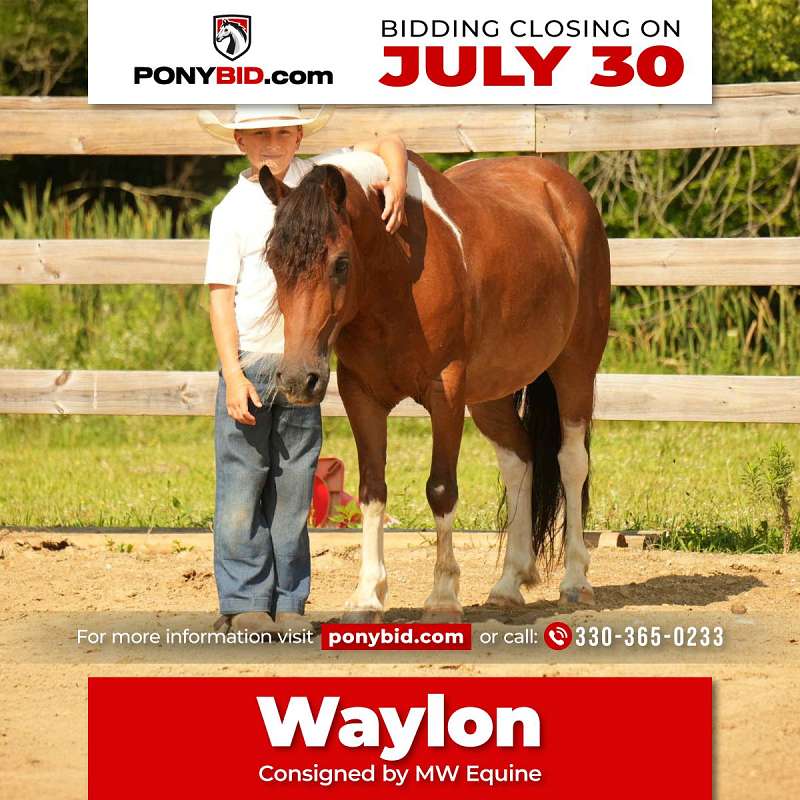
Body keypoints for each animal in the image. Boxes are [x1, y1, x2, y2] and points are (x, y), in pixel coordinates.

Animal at [256, 149, 610, 622]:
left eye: (340, 263)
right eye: (273, 262)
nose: (298, 379)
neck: (397, 277)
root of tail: (563, 188)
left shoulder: (446, 394)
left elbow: (441, 490)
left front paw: (442, 597)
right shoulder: (361, 396)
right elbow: (372, 491)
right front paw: (367, 597)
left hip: (574, 368)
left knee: (571, 461)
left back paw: (575, 581)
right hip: (492, 394)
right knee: (519, 458)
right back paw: (509, 583)